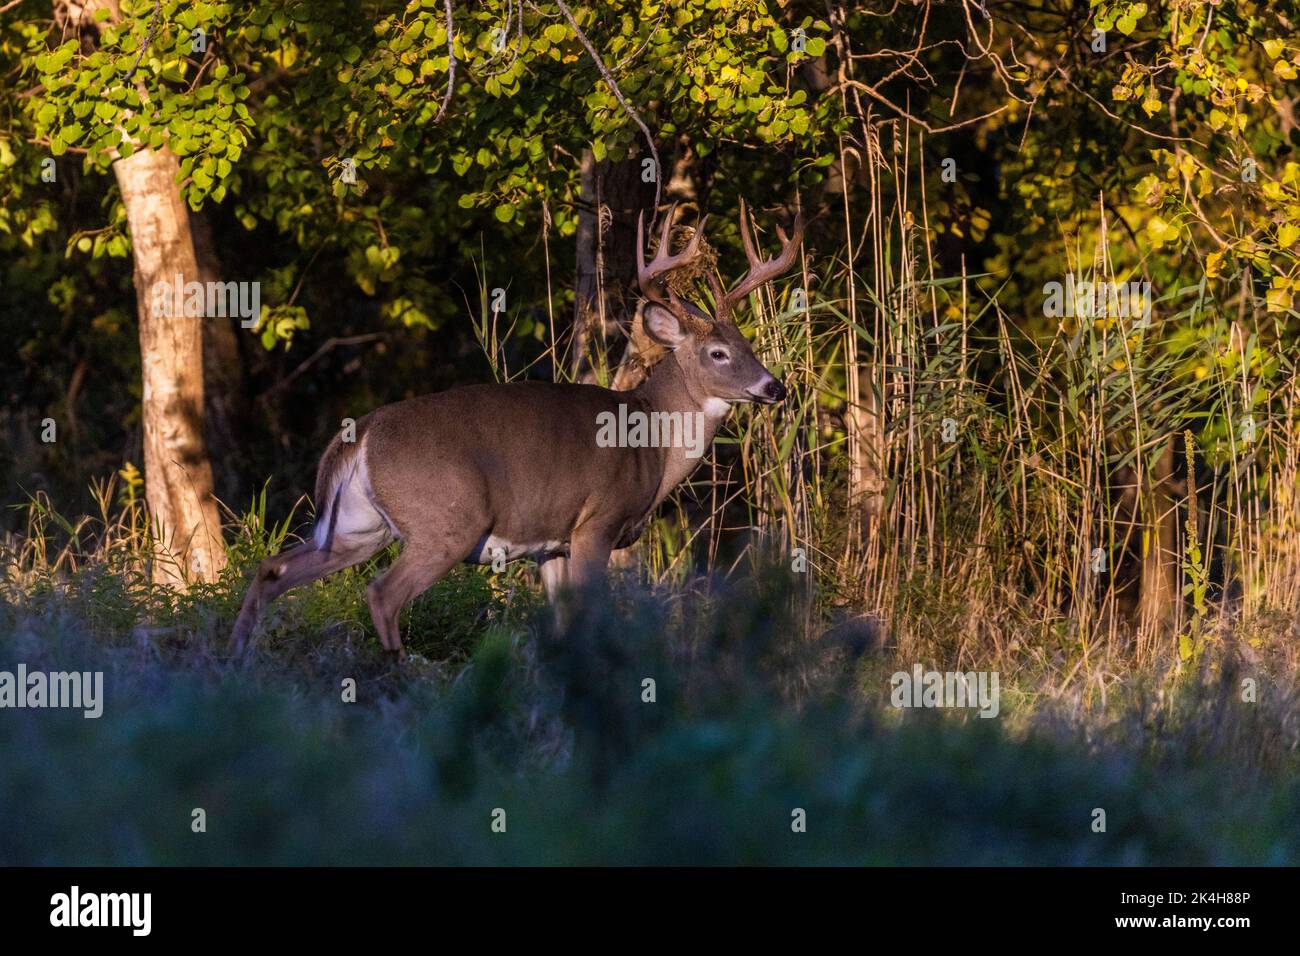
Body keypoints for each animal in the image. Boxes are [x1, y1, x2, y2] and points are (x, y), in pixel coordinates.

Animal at [229, 201, 804, 656]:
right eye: (718, 353)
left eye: (750, 346)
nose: (775, 388)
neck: (653, 443)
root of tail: (362, 431)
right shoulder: (597, 522)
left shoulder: (552, 543)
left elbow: (564, 625)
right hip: (446, 521)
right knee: (381, 594)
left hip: (357, 527)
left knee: (272, 569)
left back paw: (237, 662)